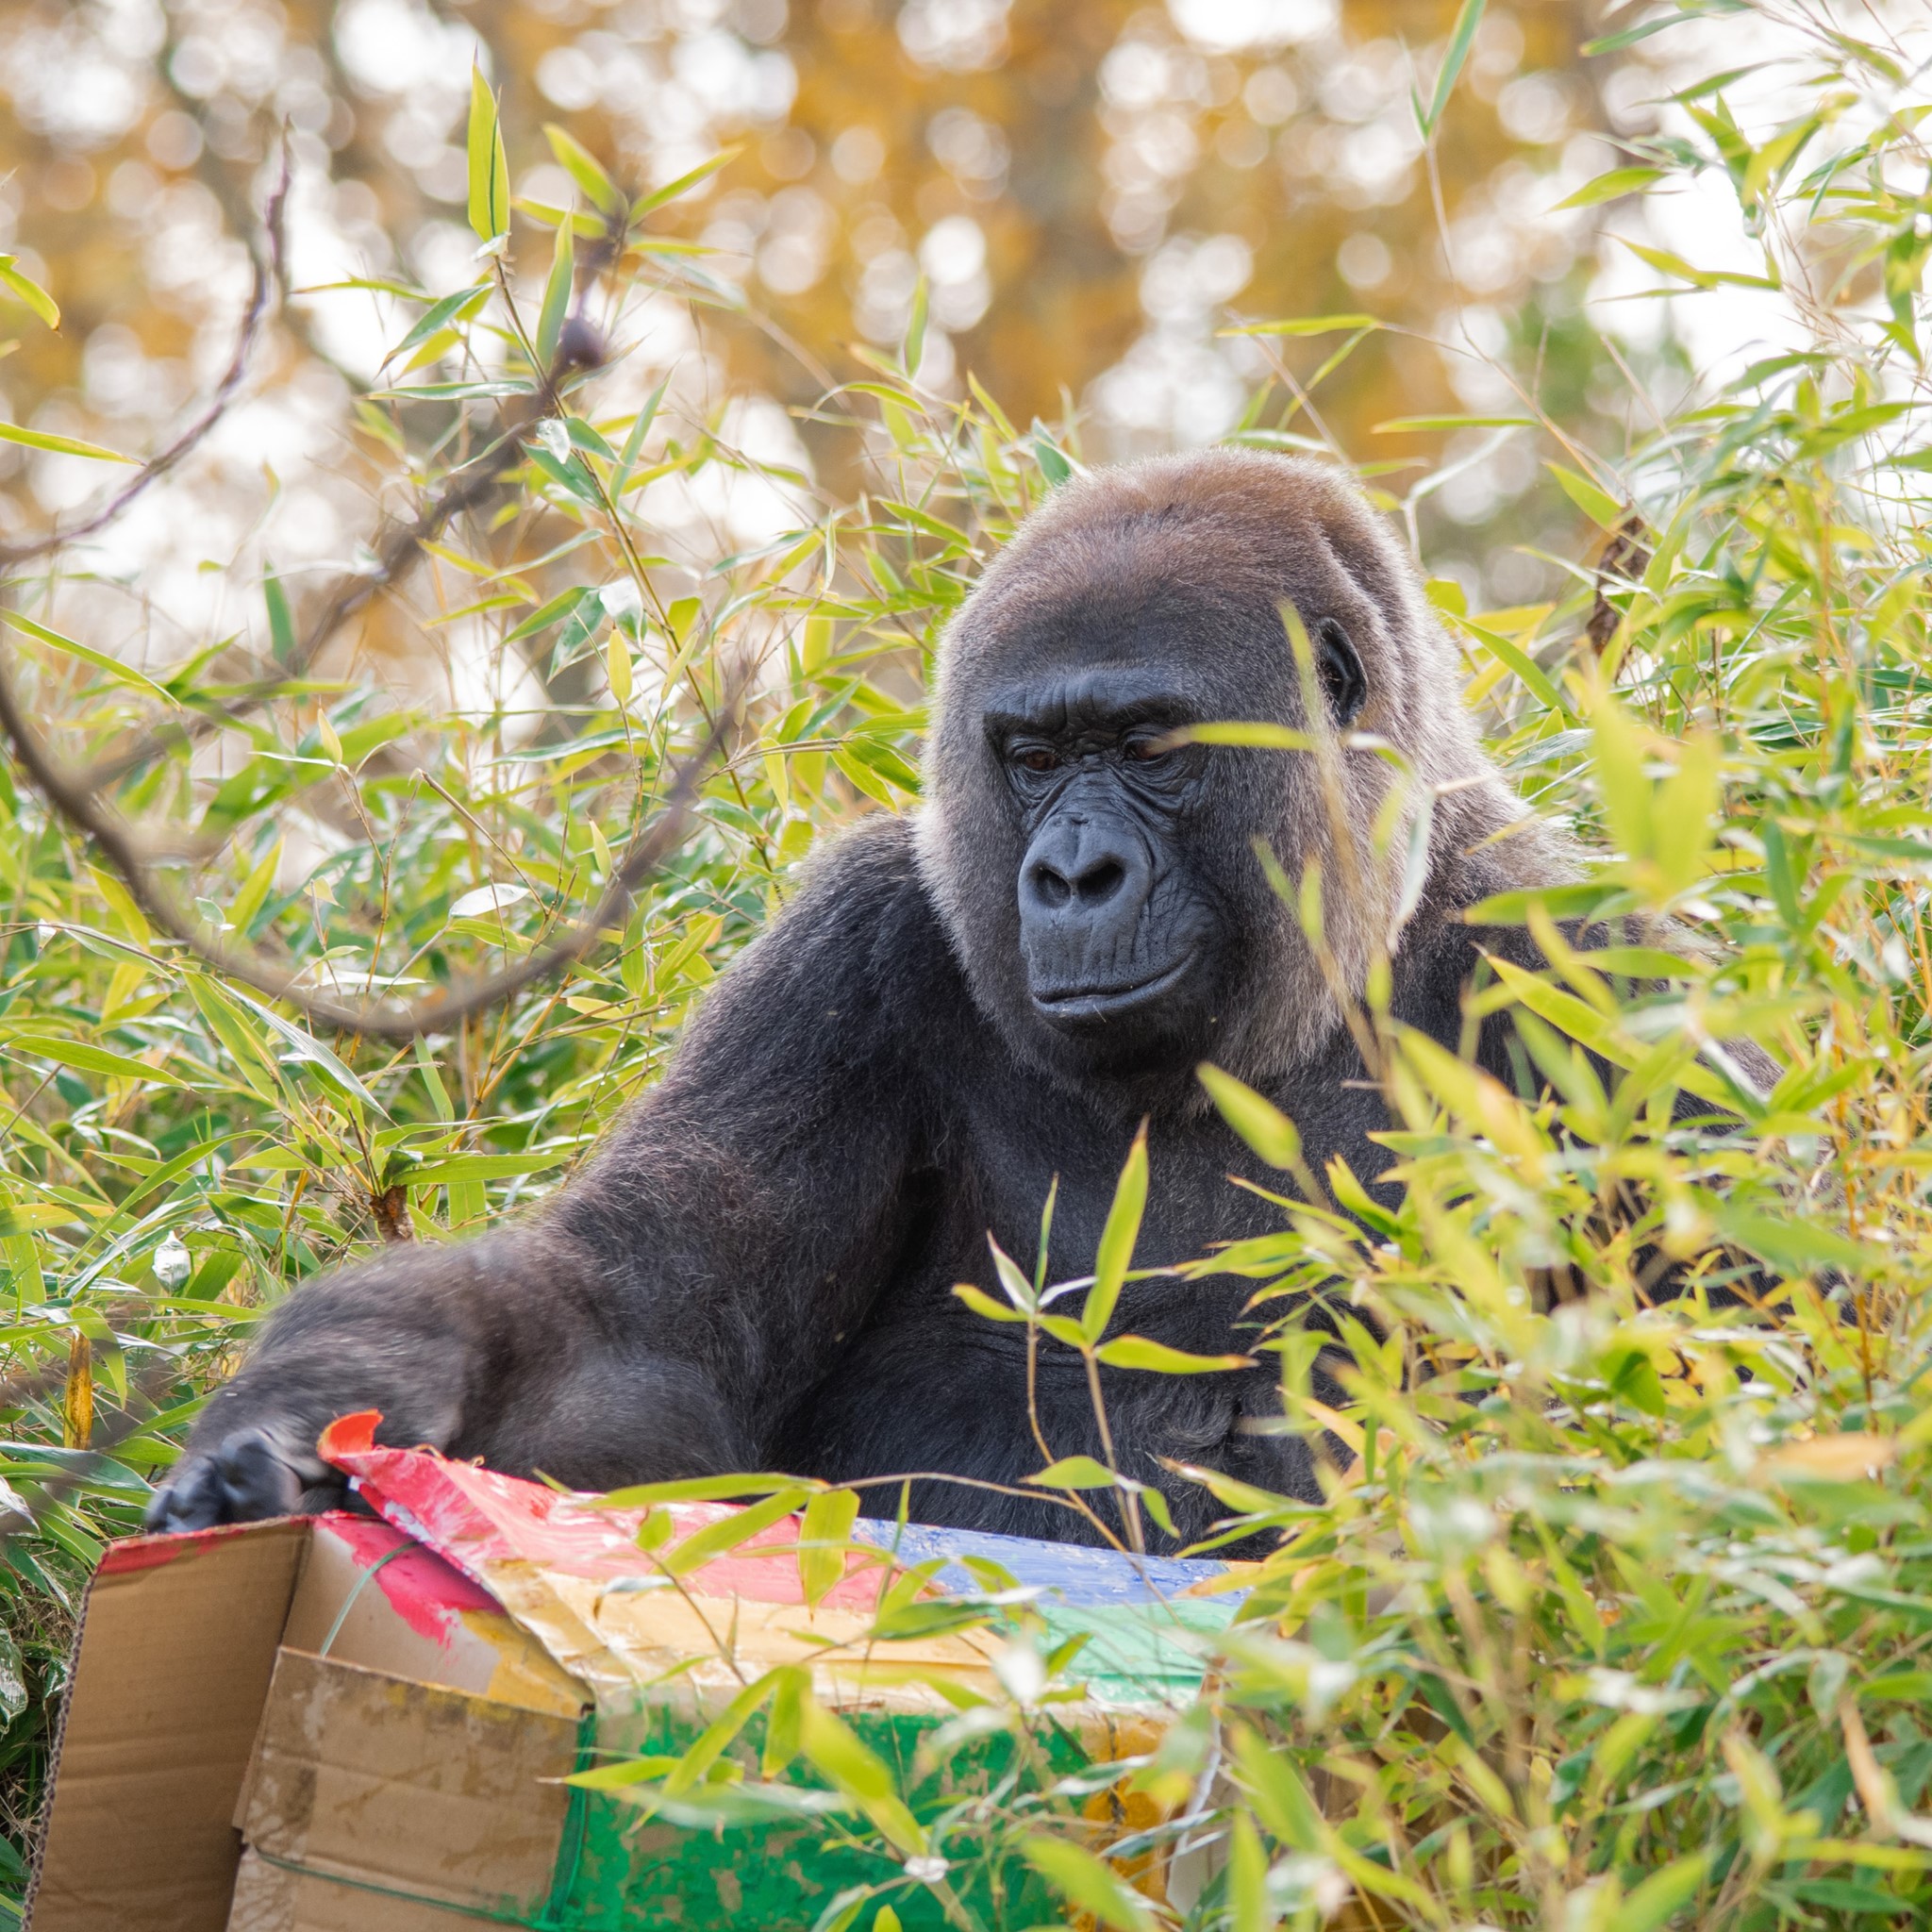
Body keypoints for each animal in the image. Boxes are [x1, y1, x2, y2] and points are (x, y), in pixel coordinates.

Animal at [145, 450, 1761, 1550]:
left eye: (1148, 743)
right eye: (1034, 758)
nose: (1073, 875)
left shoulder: (1591, 966)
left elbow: (1731, 1366)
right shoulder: (856, 948)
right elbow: (633, 1329)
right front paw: (300, 1419)